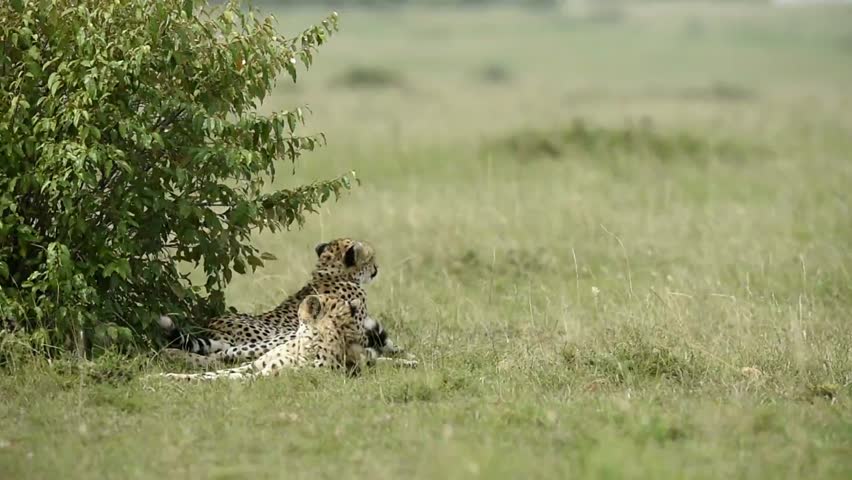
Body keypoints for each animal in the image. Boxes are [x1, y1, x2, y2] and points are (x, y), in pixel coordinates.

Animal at [155, 295, 376, 381]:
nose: (306, 300)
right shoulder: (253, 366)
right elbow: (213, 373)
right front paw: (165, 377)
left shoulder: (265, 375)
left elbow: (223, 378)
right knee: (219, 355)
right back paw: (171, 353)